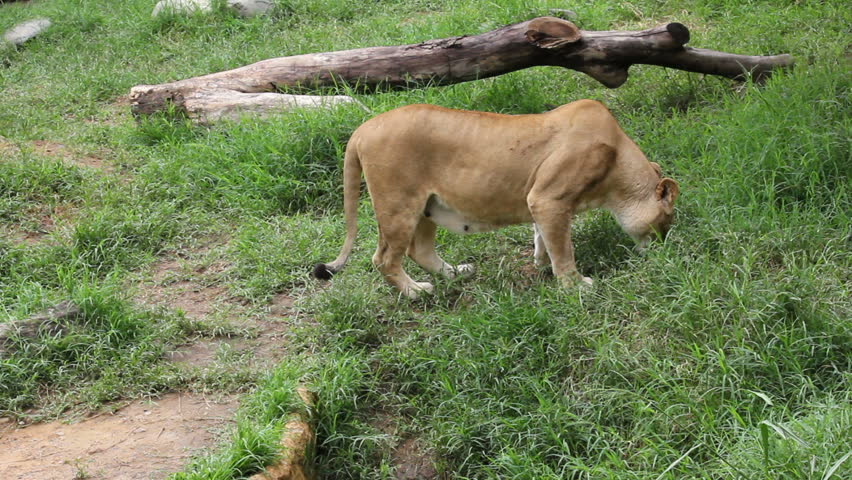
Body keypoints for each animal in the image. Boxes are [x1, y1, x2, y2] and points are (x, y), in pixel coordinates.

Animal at [313, 100, 679, 298]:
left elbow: (544, 236)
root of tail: (362, 129)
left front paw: (541, 263)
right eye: (667, 220)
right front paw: (575, 285)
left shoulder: (541, 202)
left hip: (426, 206)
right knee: (385, 259)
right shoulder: (548, 197)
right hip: (398, 204)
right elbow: (564, 248)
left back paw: (457, 273)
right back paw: (417, 291)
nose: (664, 248)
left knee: (420, 251)